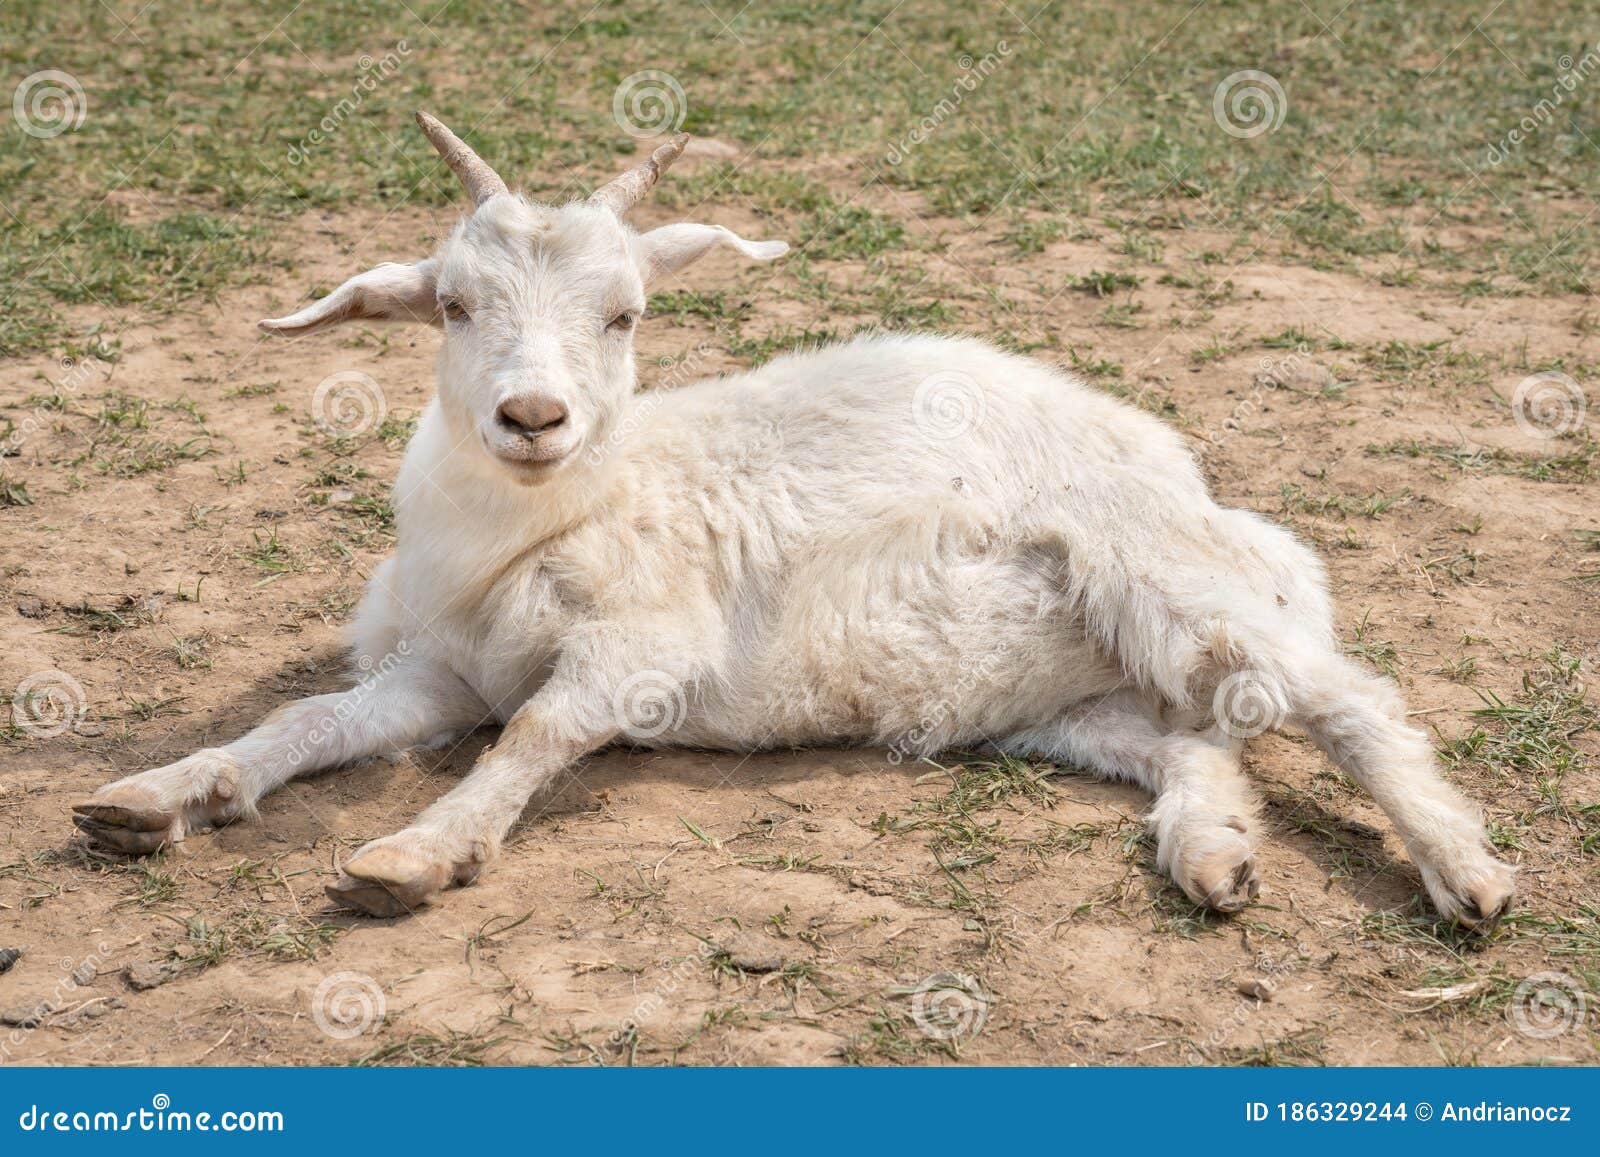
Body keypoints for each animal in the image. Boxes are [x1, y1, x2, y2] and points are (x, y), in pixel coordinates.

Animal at [71, 112, 1515, 929]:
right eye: (454, 305)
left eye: (626, 314)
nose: (533, 417)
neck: (535, 527)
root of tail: (1200, 484)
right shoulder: (435, 670)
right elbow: (306, 721)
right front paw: (159, 795)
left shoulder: (643, 651)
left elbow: (533, 736)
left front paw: (419, 853)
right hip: (1062, 694)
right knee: (1194, 745)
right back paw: (1214, 860)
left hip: (1167, 576)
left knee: (1348, 705)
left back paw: (1467, 875)